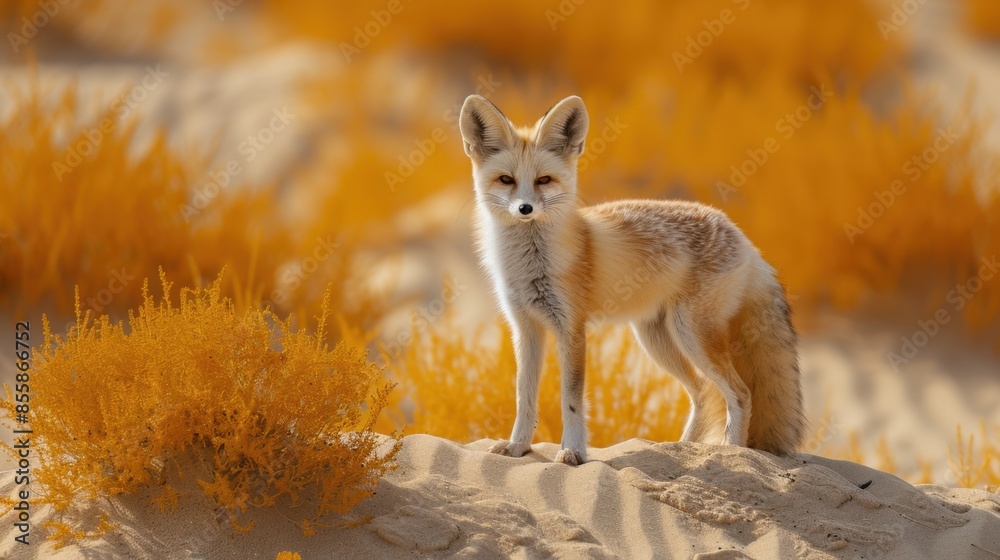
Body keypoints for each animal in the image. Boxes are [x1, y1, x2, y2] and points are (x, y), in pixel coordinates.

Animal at [458, 94, 806, 465]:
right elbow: (523, 396)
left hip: (692, 335)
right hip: (657, 339)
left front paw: (573, 451)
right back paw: (682, 449)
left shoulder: (572, 329)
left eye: (544, 180)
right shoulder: (526, 328)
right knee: (700, 392)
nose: (525, 209)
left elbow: (572, 399)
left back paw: (733, 453)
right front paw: (518, 447)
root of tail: (744, 238)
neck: (531, 265)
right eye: (506, 180)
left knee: (740, 393)